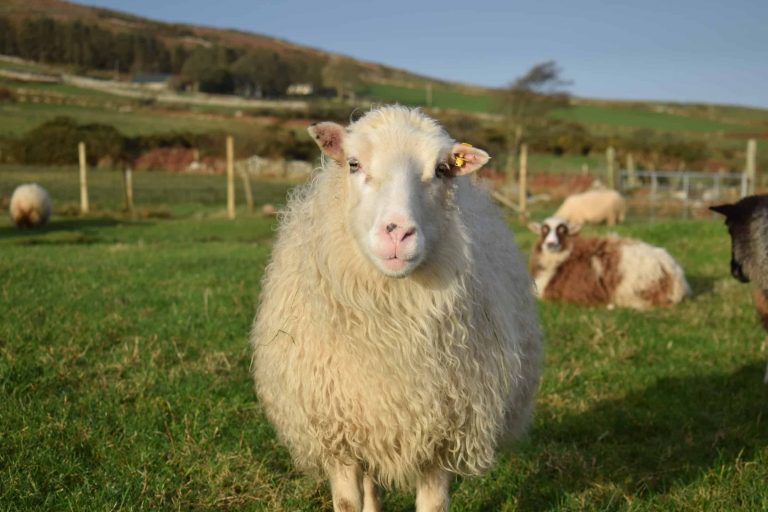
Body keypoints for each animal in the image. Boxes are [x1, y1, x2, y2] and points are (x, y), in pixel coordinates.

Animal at [250, 106, 542, 511]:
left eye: (441, 169)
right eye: (353, 163)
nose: (398, 232)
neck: (390, 335)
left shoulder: (441, 434)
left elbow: (432, 505)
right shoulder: (338, 434)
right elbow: (347, 503)